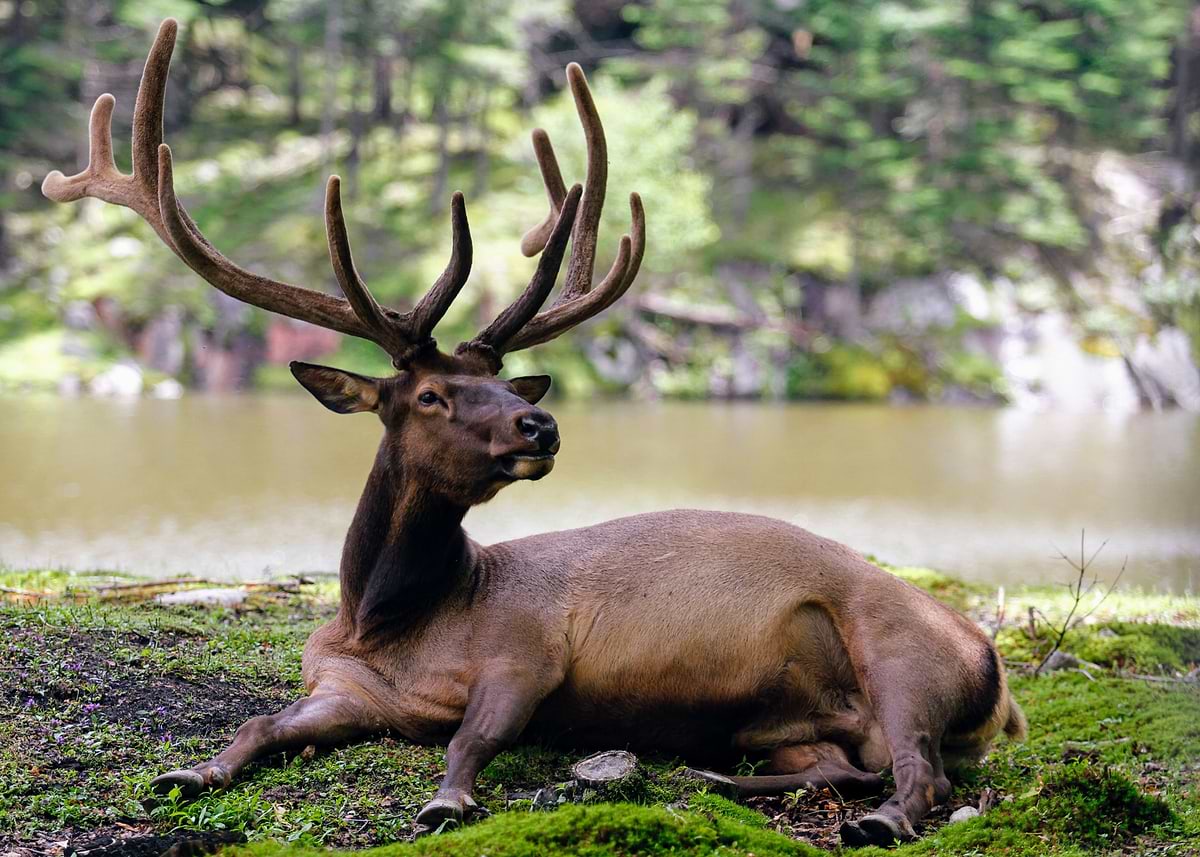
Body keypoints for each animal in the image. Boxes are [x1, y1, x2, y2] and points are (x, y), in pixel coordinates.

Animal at [43, 19, 1026, 848]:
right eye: (431, 394)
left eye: (496, 383)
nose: (539, 420)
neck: (390, 624)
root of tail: (994, 667)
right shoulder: (340, 688)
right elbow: (256, 723)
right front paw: (189, 770)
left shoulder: (527, 651)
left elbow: (473, 740)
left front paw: (447, 799)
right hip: (795, 722)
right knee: (836, 762)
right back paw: (720, 773)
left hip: (902, 655)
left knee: (921, 771)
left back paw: (878, 817)